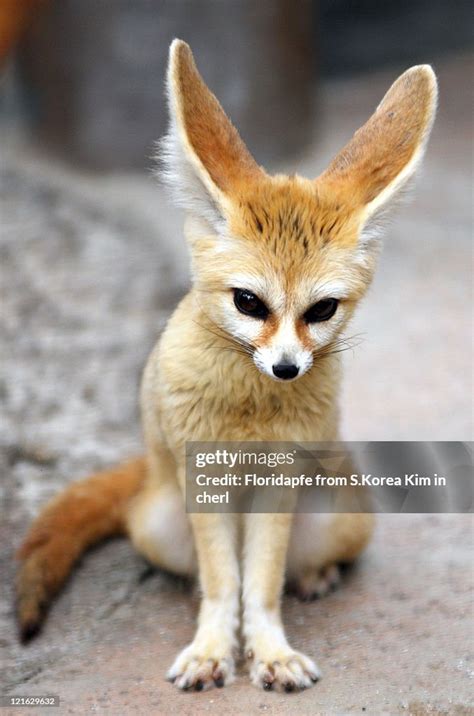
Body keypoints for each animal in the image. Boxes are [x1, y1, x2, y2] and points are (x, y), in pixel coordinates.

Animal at [15, 40, 437, 692]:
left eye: (322, 309)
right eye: (248, 302)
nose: (287, 368)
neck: (248, 413)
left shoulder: (278, 483)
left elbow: (260, 584)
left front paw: (270, 651)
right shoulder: (204, 480)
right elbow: (225, 583)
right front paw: (214, 647)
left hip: (341, 517)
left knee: (296, 564)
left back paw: (315, 575)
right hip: (159, 526)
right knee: (205, 571)